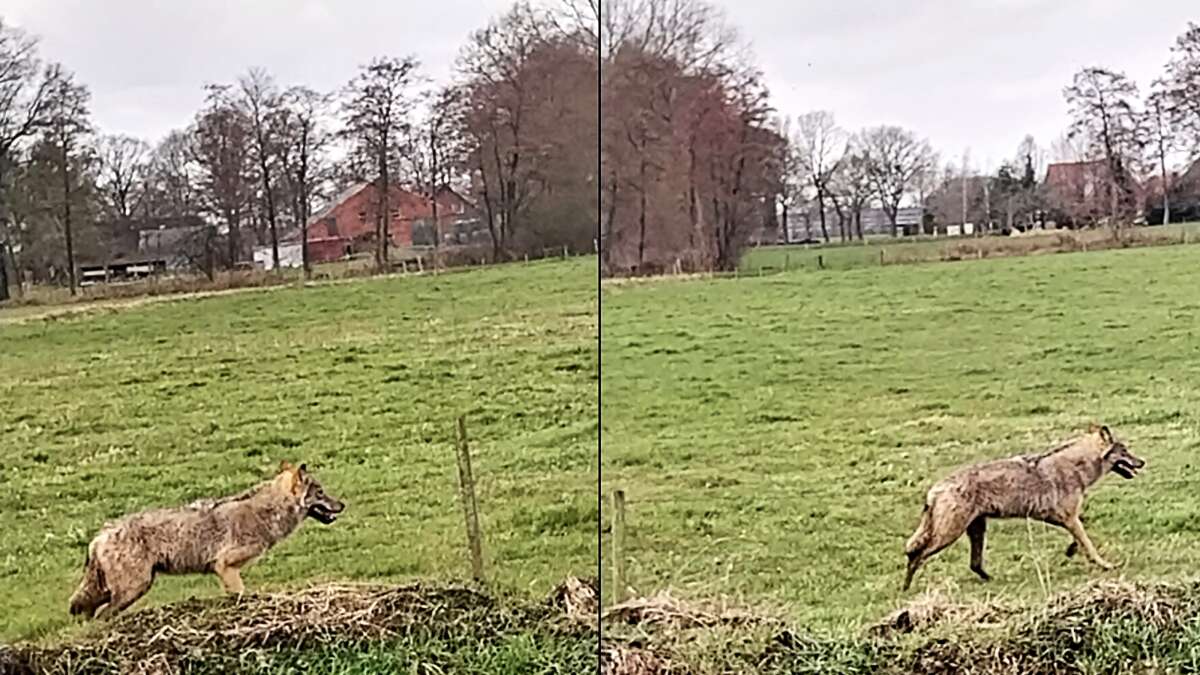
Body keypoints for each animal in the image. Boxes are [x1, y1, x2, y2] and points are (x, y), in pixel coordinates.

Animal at [68, 461, 345, 619]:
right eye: (321, 493)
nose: (343, 504)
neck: (267, 513)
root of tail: (99, 535)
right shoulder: (225, 566)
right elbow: (241, 595)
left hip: (120, 590)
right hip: (133, 589)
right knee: (102, 616)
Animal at [902, 425, 1143, 591]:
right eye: (1125, 451)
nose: (1143, 462)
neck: (1077, 467)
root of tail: (935, 489)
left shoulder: (1065, 519)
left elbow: (1080, 542)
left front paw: (1071, 551)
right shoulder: (1069, 518)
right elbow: (1090, 545)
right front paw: (1106, 565)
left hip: (975, 530)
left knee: (974, 564)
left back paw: (990, 578)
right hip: (948, 535)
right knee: (916, 555)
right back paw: (906, 589)